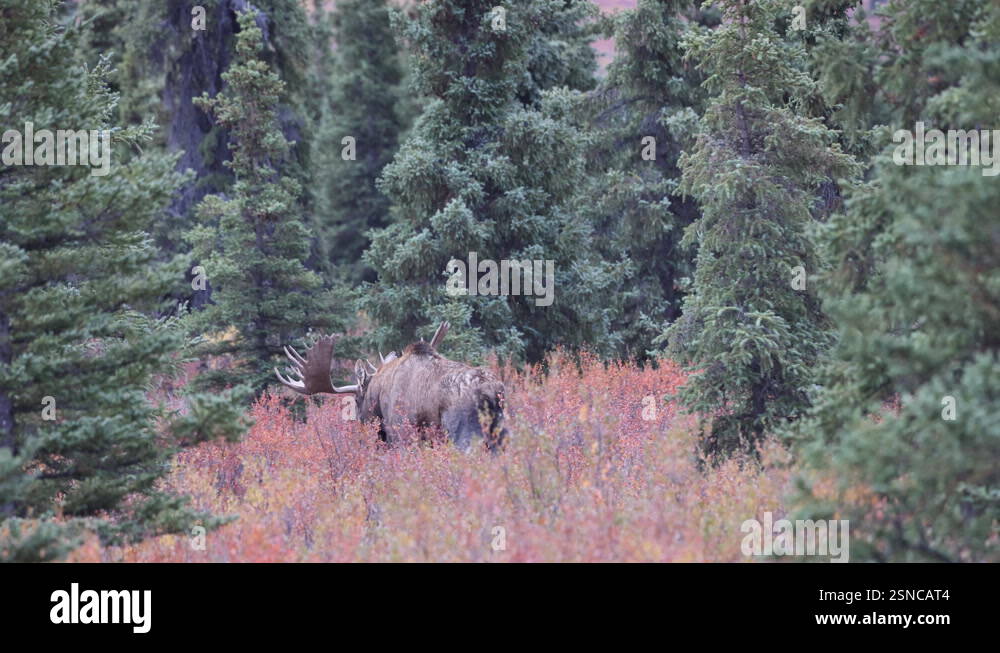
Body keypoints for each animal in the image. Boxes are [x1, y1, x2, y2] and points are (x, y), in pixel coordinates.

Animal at [274, 323, 508, 451]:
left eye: (357, 399)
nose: (359, 425)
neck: (379, 394)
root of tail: (489, 390)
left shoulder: (400, 430)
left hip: (461, 429)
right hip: (500, 427)